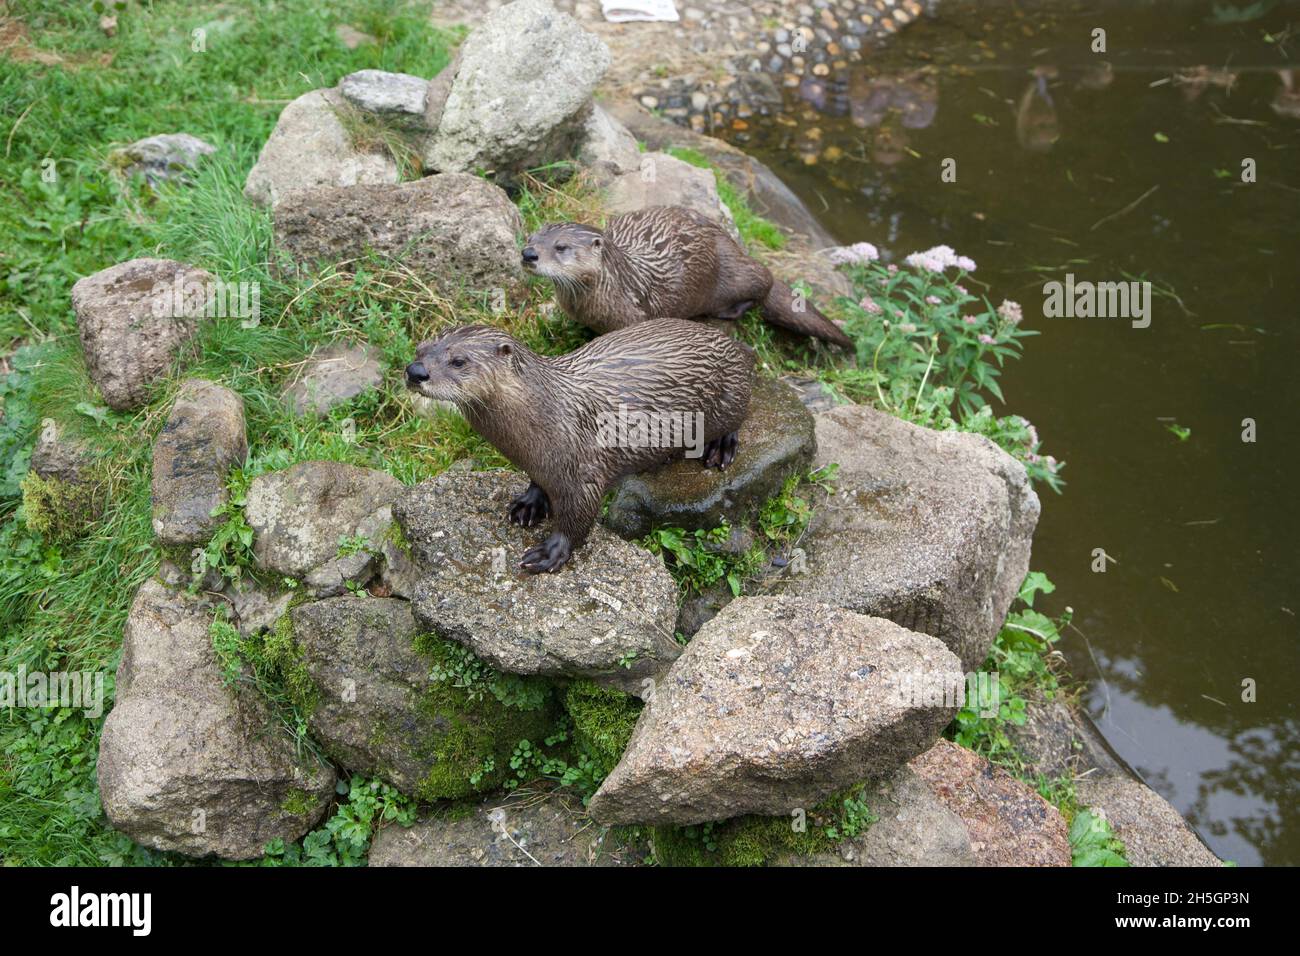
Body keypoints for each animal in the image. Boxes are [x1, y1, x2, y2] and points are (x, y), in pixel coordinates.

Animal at [405, 319, 754, 573]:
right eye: (420, 348)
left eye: (458, 361)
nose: (415, 372)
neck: (549, 413)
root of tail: (731, 344)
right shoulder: (543, 463)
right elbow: (538, 483)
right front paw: (530, 504)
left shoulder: (583, 471)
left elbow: (577, 519)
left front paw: (551, 551)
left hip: (729, 401)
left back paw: (721, 448)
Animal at [521, 205, 853, 349]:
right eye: (530, 238)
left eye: (561, 247)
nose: (528, 254)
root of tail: (729, 240)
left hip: (734, 272)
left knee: (765, 278)